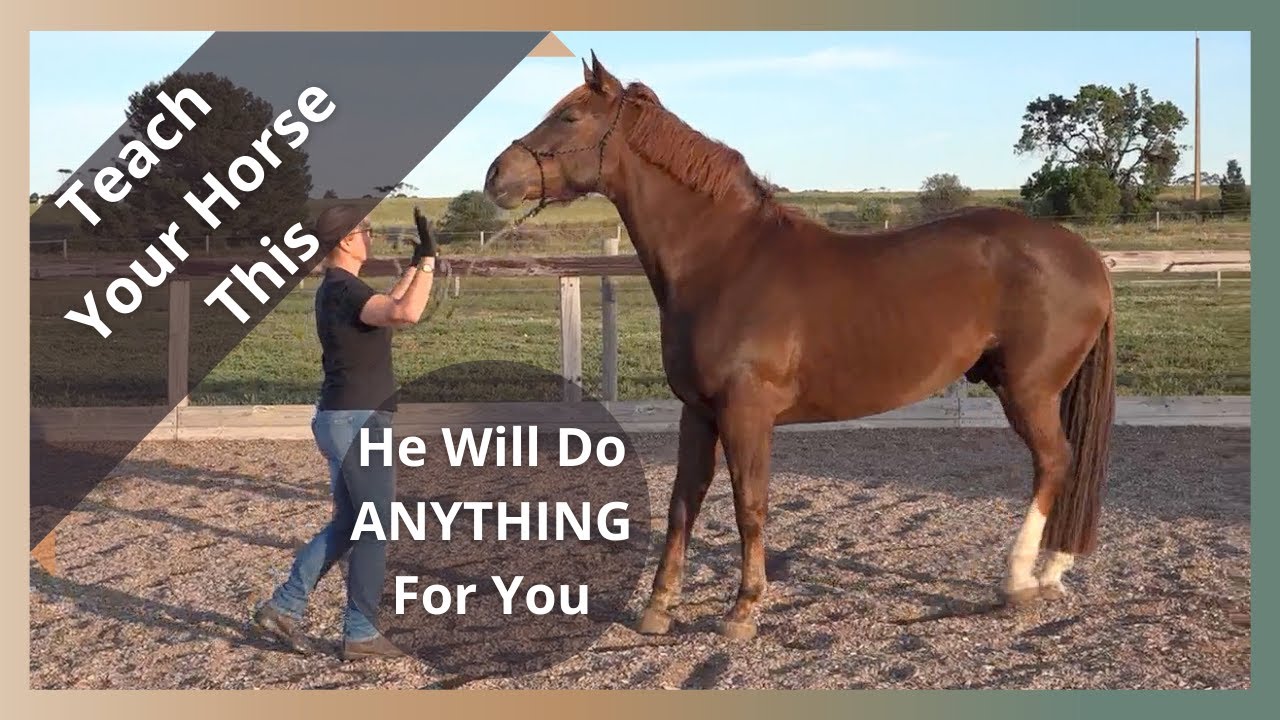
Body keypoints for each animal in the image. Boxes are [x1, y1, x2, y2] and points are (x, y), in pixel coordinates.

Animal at [483, 52, 1116, 640]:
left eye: (568, 116)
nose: (495, 176)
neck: (726, 261)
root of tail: (1084, 256)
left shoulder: (746, 413)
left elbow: (749, 504)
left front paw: (743, 609)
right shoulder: (698, 412)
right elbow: (684, 503)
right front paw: (658, 607)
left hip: (1028, 391)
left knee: (1054, 463)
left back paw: (1020, 578)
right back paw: (1052, 571)